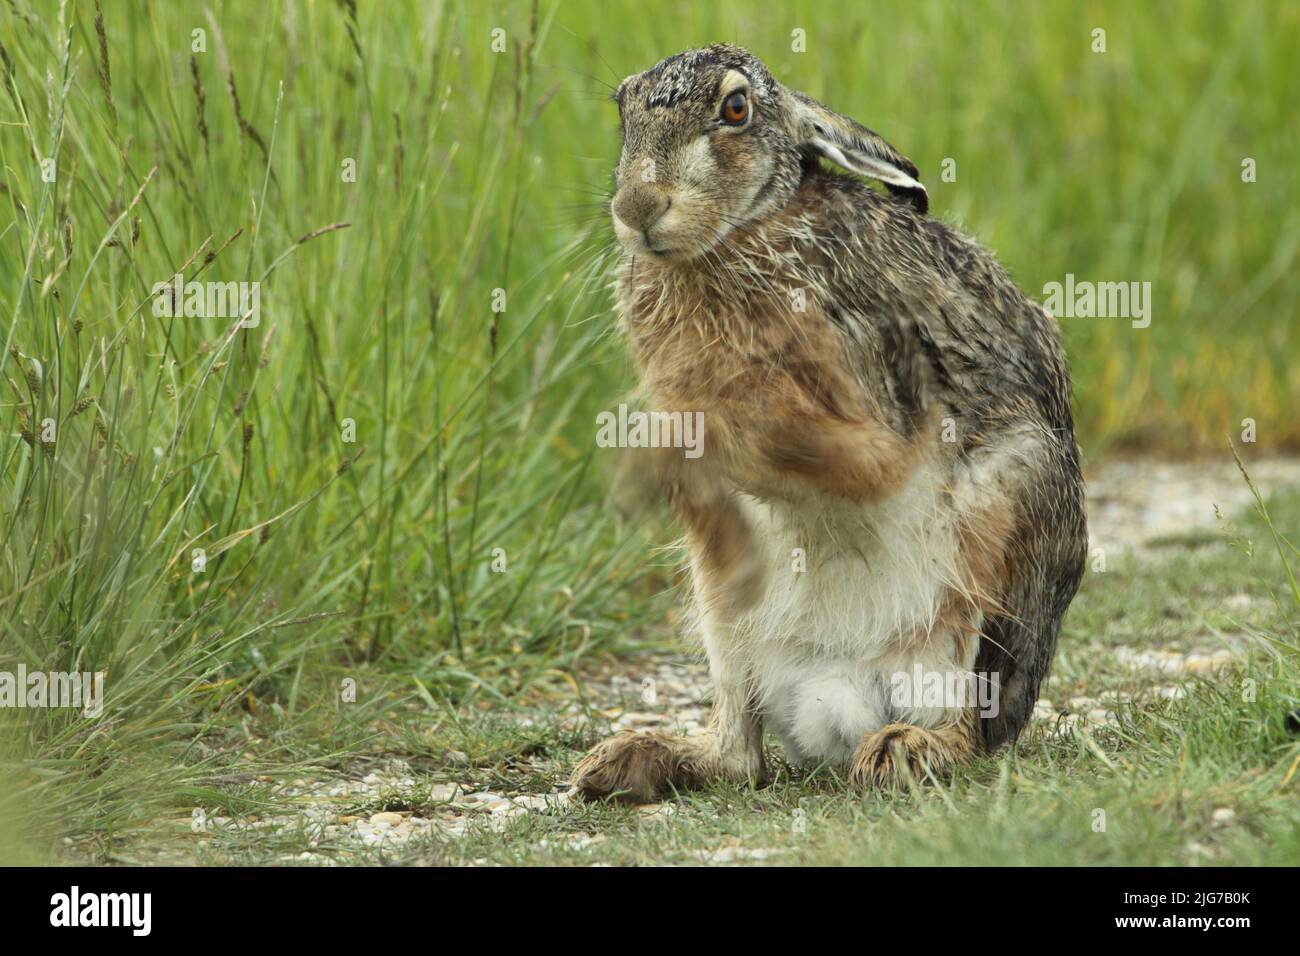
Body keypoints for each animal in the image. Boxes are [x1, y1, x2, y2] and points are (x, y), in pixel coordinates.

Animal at [572, 44, 1087, 801]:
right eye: (623, 108)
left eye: (735, 109)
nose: (638, 207)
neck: (741, 233)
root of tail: (840, 698)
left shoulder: (872, 395)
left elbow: (797, 439)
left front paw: (649, 457)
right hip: (722, 612)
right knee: (739, 754)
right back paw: (628, 760)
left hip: (1002, 530)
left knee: (969, 723)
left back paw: (907, 750)